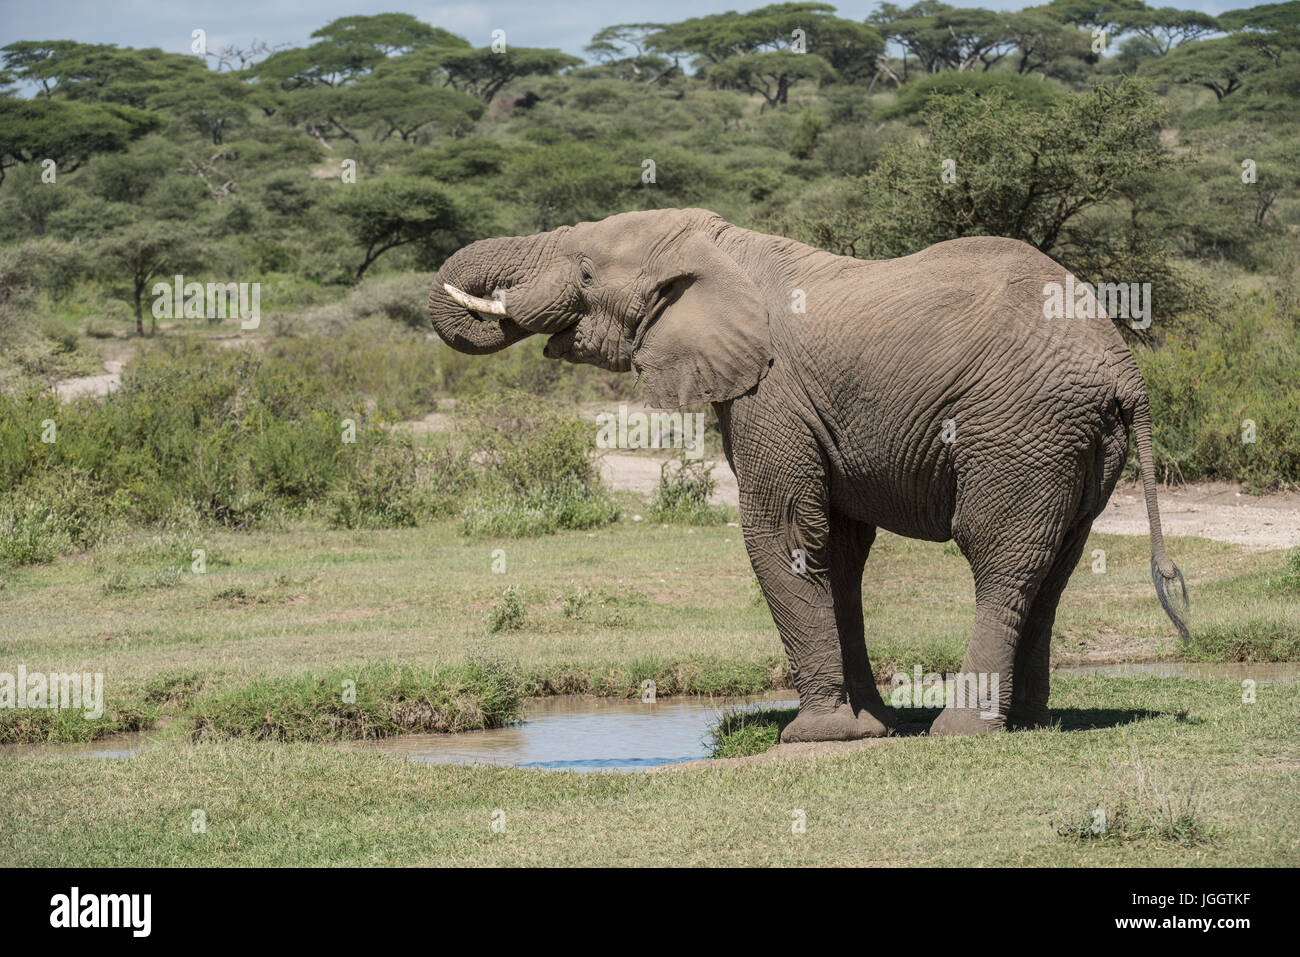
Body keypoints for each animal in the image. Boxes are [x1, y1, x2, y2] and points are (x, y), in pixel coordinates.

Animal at [428, 208, 1189, 741]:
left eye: (586, 273)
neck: (721, 244)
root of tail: (1126, 367)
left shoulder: (772, 393)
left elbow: (784, 532)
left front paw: (812, 734)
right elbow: (841, 549)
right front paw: (868, 728)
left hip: (1020, 428)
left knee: (1000, 556)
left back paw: (961, 730)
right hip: (1077, 443)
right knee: (1054, 564)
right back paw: (1026, 723)